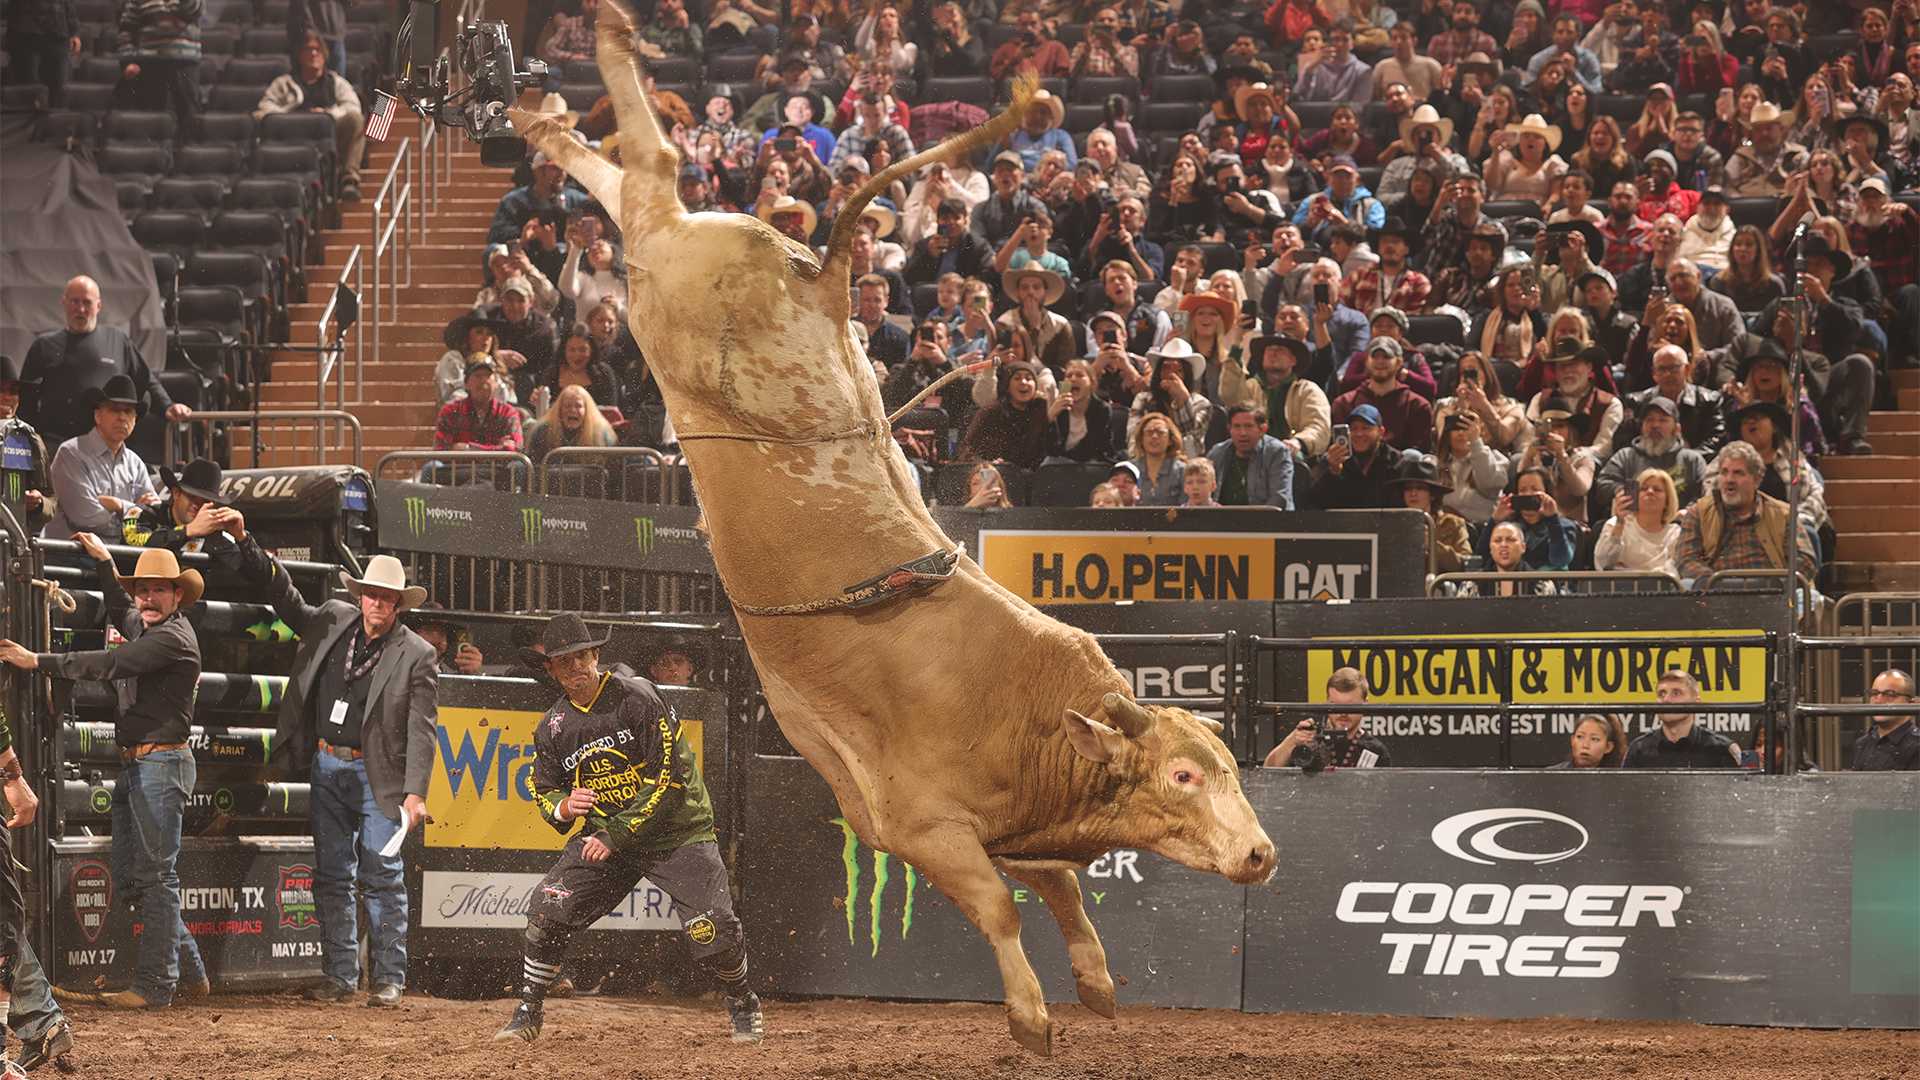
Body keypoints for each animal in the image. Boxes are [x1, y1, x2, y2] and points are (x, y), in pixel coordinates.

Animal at [509, 1, 1275, 1055]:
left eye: (1229, 767)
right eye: (1187, 775)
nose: (1263, 855)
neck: (1021, 709)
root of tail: (826, 283)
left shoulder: (1012, 830)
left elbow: (1062, 885)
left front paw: (1095, 983)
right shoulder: (919, 829)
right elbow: (1001, 905)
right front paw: (1032, 1015)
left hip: (668, 270)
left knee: (639, 174)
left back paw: (555, 106)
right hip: (668, 277)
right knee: (652, 172)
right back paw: (583, 77)